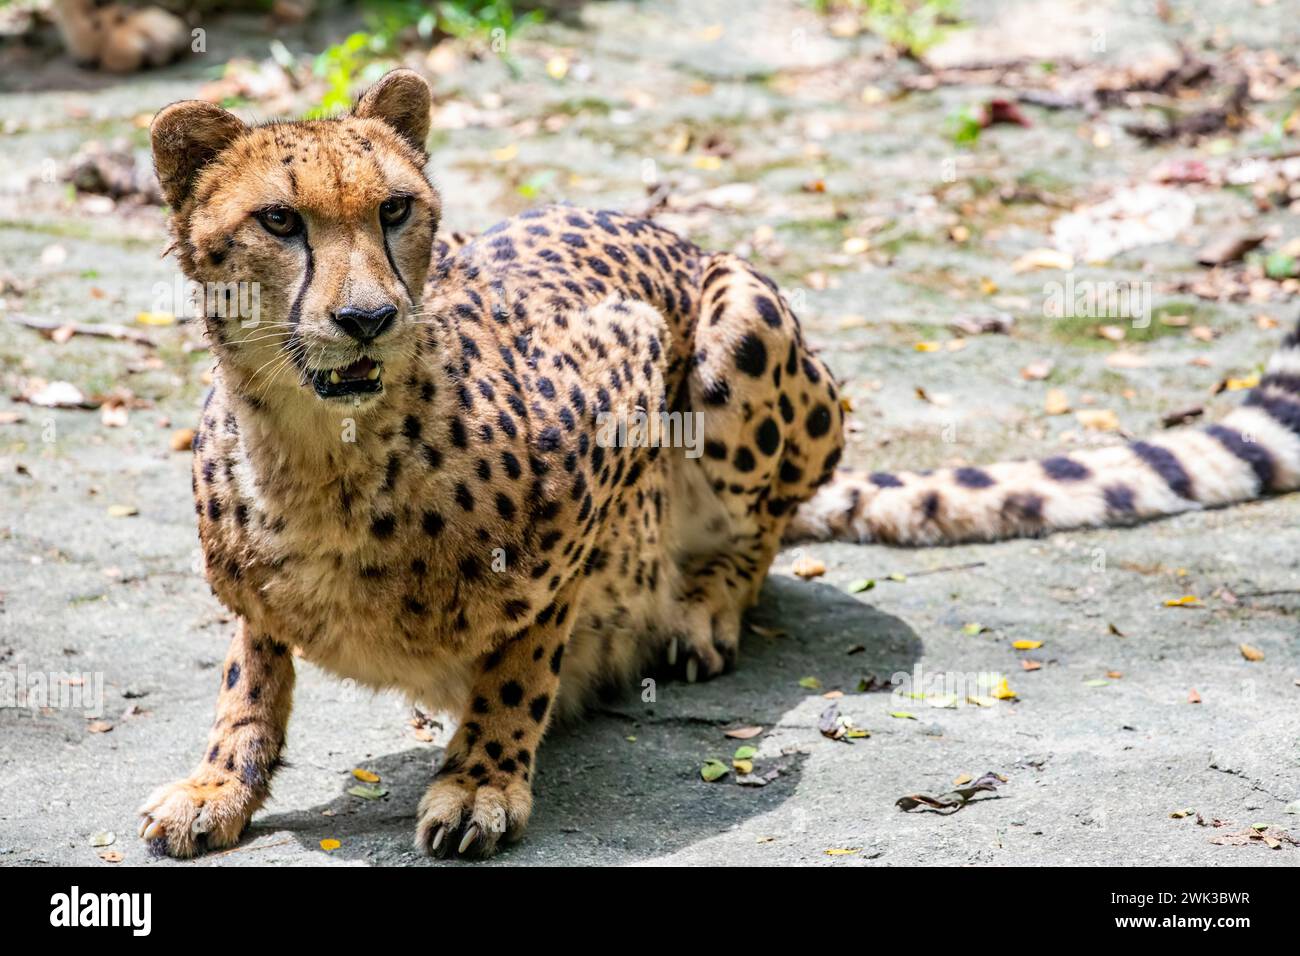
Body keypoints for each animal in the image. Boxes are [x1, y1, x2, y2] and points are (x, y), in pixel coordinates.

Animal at [137, 68, 1300, 860]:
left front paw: (482, 778)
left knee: (765, 519)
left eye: (394, 209)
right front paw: (217, 781)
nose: (369, 319)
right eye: (279, 219)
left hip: (741, 326)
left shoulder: (622, 367)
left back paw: (698, 610)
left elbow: (526, 643)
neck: (323, 456)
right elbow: (252, 667)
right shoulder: (250, 577)